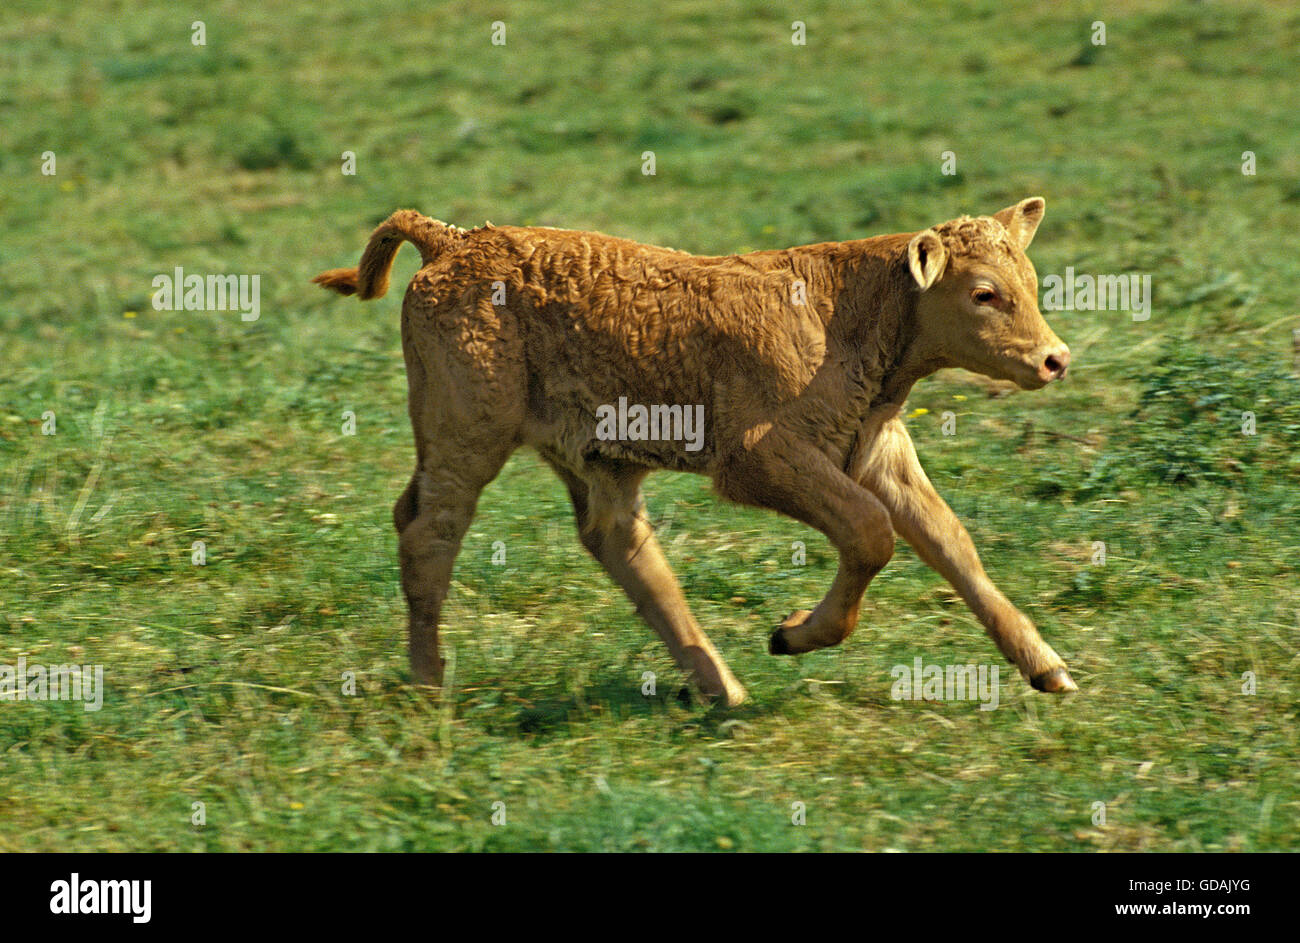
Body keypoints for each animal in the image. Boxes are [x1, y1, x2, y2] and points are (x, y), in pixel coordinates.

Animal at [314, 197, 1077, 707]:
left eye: (1032, 282)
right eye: (984, 293)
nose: (1054, 359)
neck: (843, 313)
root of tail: (453, 242)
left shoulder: (876, 451)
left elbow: (951, 544)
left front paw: (1047, 666)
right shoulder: (759, 459)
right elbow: (870, 533)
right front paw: (793, 633)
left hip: (595, 455)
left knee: (617, 543)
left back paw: (720, 688)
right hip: (466, 434)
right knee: (430, 532)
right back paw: (429, 686)